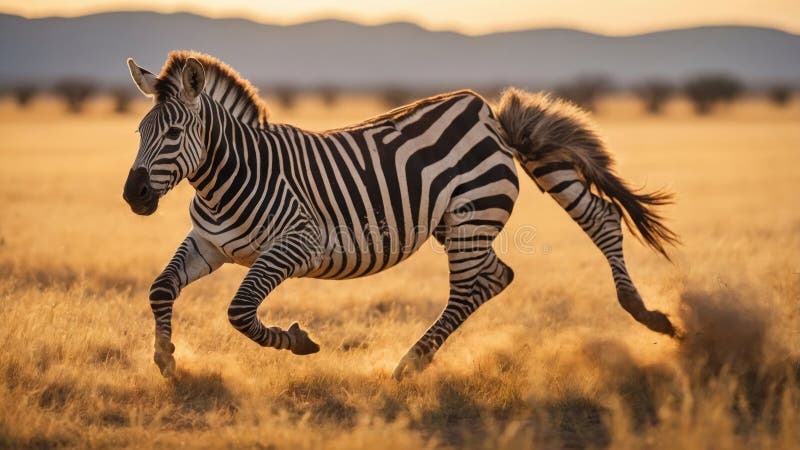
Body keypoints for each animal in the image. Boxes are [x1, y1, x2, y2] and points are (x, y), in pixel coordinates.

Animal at [123, 51, 679, 380]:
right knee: (501, 273)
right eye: (139, 132)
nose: (133, 196)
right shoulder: (209, 243)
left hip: (470, 215)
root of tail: (485, 113)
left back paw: (409, 363)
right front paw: (165, 361)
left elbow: (240, 313)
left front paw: (298, 342)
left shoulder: (298, 243)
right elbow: (159, 287)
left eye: (172, 134)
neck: (230, 179)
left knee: (490, 277)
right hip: (460, 225)